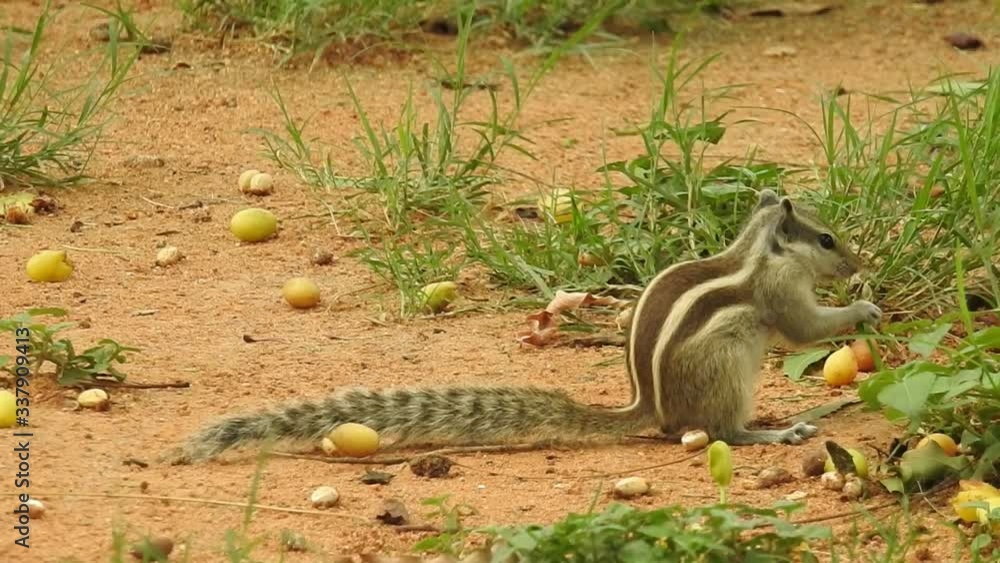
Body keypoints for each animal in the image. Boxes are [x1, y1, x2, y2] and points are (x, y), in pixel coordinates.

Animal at [167, 189, 881, 464]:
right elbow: (804, 329)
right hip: (728, 372)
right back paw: (778, 430)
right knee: (723, 432)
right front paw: (862, 310)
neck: (757, 251)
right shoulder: (779, 295)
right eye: (826, 239)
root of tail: (651, 407)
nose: (859, 263)